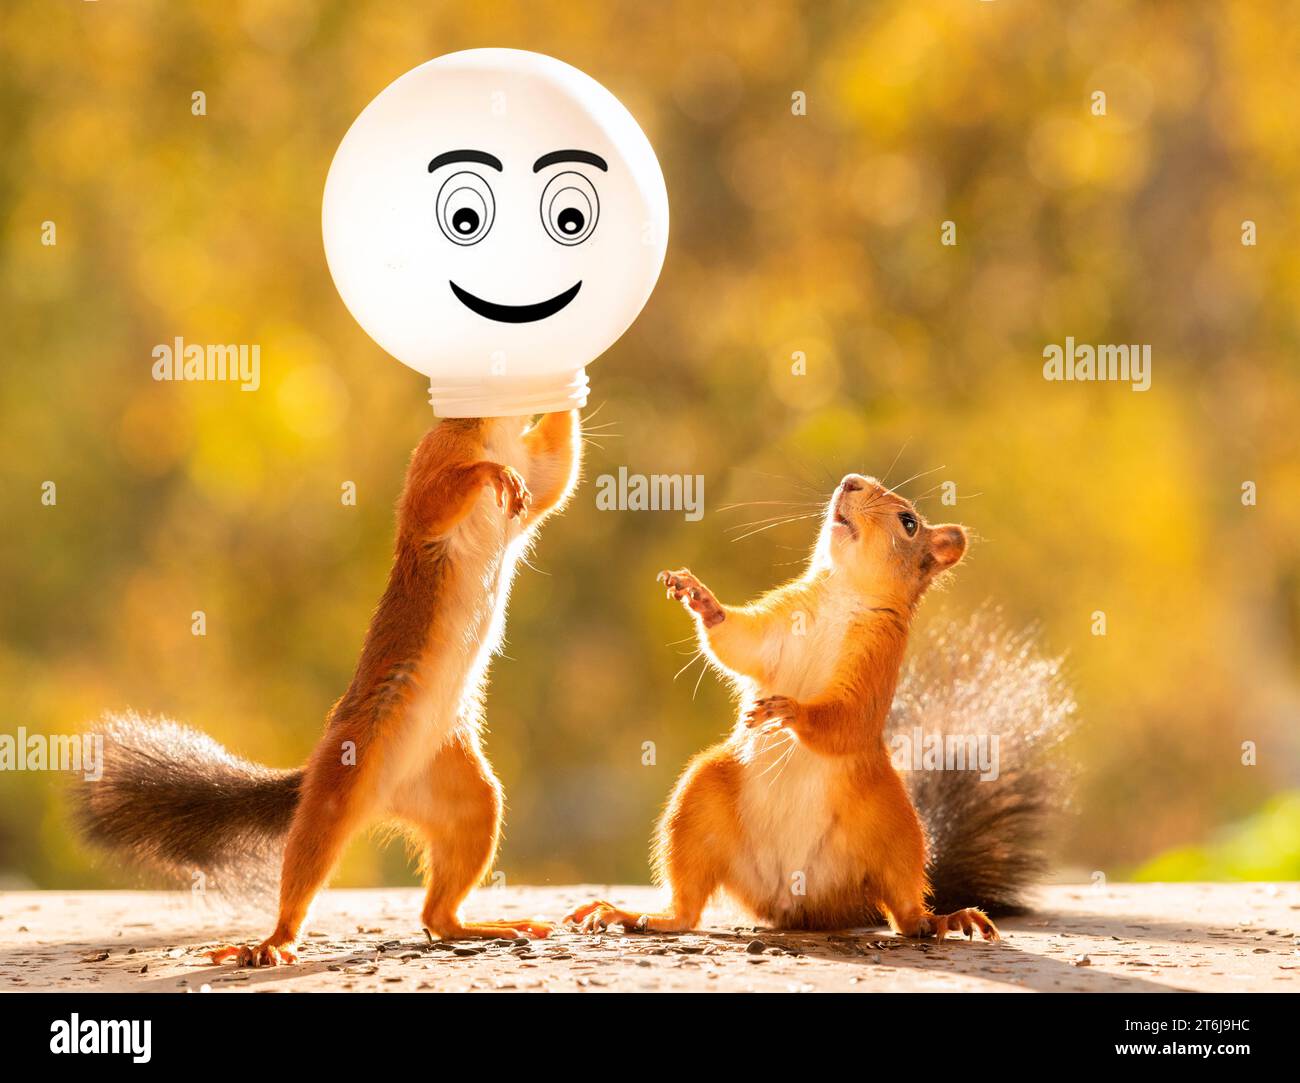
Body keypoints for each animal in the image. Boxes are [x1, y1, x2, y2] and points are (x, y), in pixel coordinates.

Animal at [72, 411, 580, 965]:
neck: (494, 433)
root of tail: (387, 796)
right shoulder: (433, 459)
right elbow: (434, 502)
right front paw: (492, 473)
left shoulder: (533, 474)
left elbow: (554, 476)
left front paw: (570, 401)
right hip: (342, 778)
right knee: (311, 856)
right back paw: (272, 942)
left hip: (465, 798)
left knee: (438, 914)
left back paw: (485, 926)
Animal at [565, 472, 1073, 940]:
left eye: (908, 522)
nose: (850, 481)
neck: (841, 593)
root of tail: (801, 902)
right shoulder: (774, 626)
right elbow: (739, 643)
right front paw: (702, 600)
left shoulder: (877, 664)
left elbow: (848, 717)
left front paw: (790, 711)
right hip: (698, 800)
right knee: (687, 908)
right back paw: (635, 915)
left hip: (895, 826)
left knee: (903, 910)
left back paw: (942, 918)